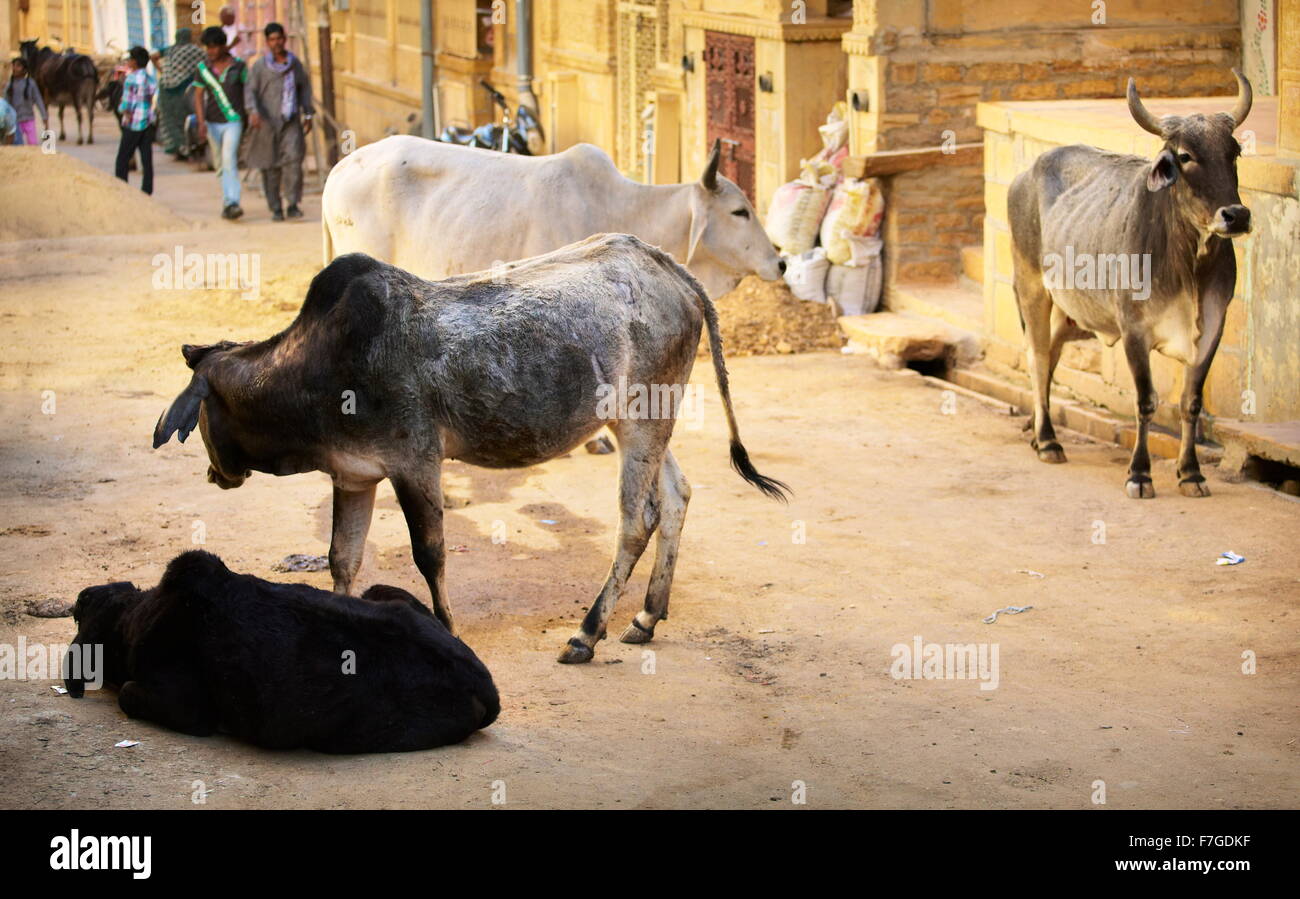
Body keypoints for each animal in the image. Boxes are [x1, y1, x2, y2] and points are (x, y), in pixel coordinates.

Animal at [152, 234, 789, 663]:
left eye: (202, 414)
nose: (214, 474)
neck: (317, 360)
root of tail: (667, 266)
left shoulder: (414, 463)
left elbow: (428, 554)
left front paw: (447, 628)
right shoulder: (353, 476)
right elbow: (342, 558)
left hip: (641, 420)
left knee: (640, 518)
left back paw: (587, 632)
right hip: (645, 423)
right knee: (678, 496)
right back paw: (647, 616)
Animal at [1007, 70, 1253, 499]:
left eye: (1234, 151)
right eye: (1185, 156)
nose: (1236, 215)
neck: (1188, 265)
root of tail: (1025, 173)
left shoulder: (1212, 328)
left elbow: (1190, 402)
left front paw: (1191, 473)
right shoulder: (1133, 328)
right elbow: (1145, 401)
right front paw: (1140, 473)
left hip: (1073, 312)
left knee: (1050, 356)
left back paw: (1037, 433)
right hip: (1031, 287)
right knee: (1037, 358)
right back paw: (1049, 440)